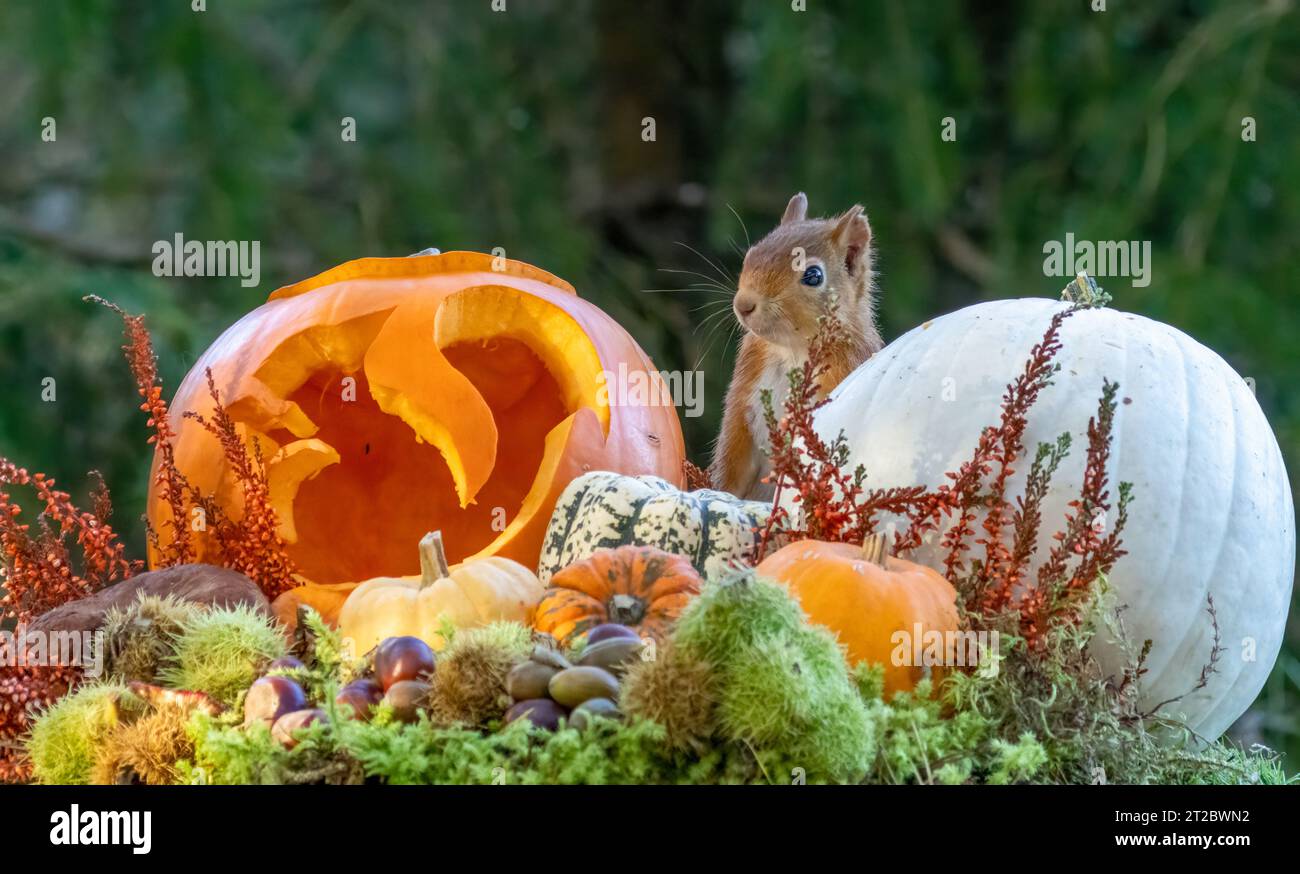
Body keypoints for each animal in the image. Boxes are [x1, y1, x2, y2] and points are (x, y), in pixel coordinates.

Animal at [709, 192, 884, 500]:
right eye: (751, 254)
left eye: (813, 275)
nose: (744, 304)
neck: (792, 350)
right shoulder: (744, 395)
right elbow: (732, 458)